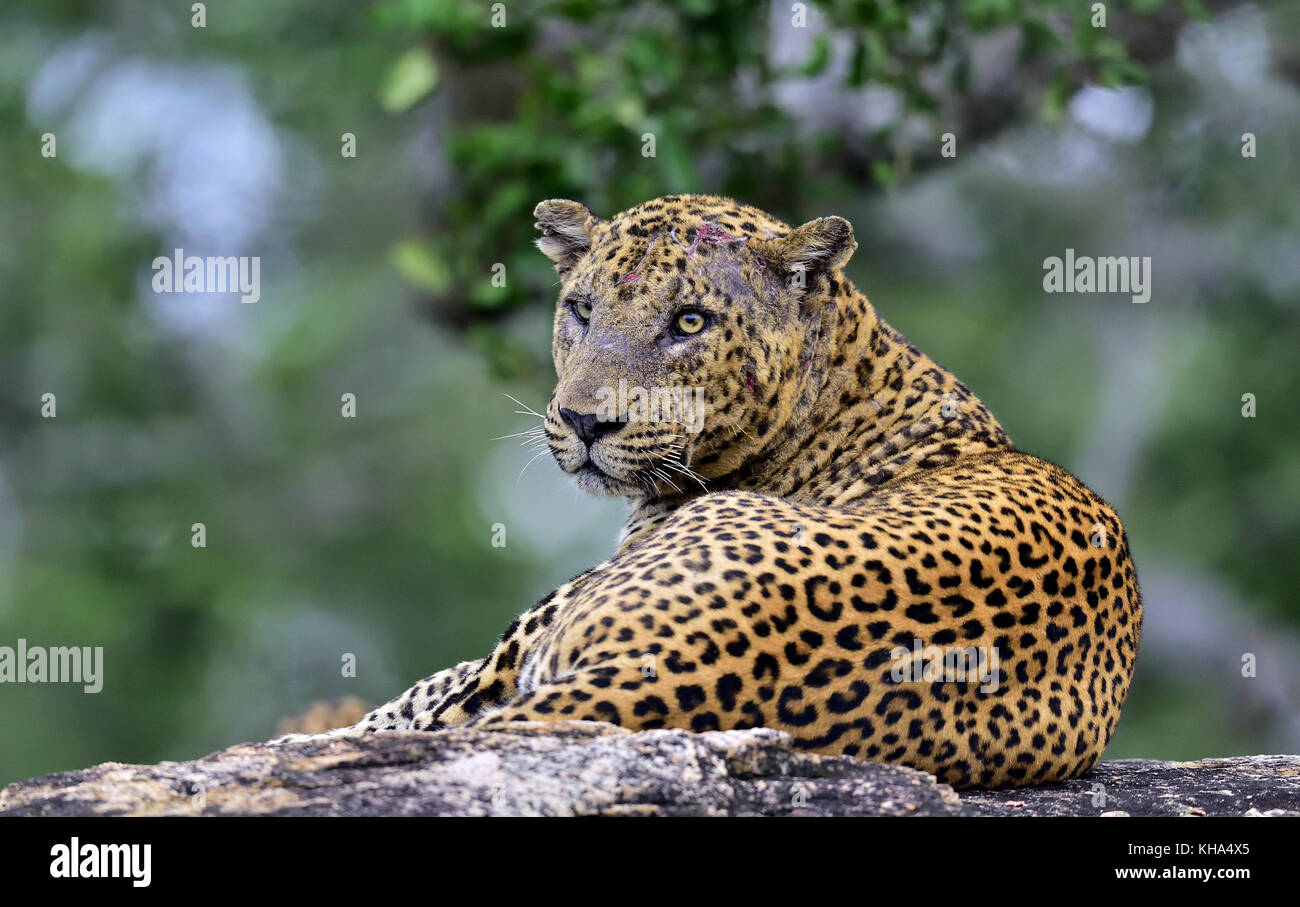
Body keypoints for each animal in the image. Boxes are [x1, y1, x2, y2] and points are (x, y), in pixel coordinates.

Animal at [278, 193, 1143, 790]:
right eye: (580, 310)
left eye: (689, 322)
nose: (585, 420)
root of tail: (672, 665)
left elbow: (423, 696)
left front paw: (306, 741)